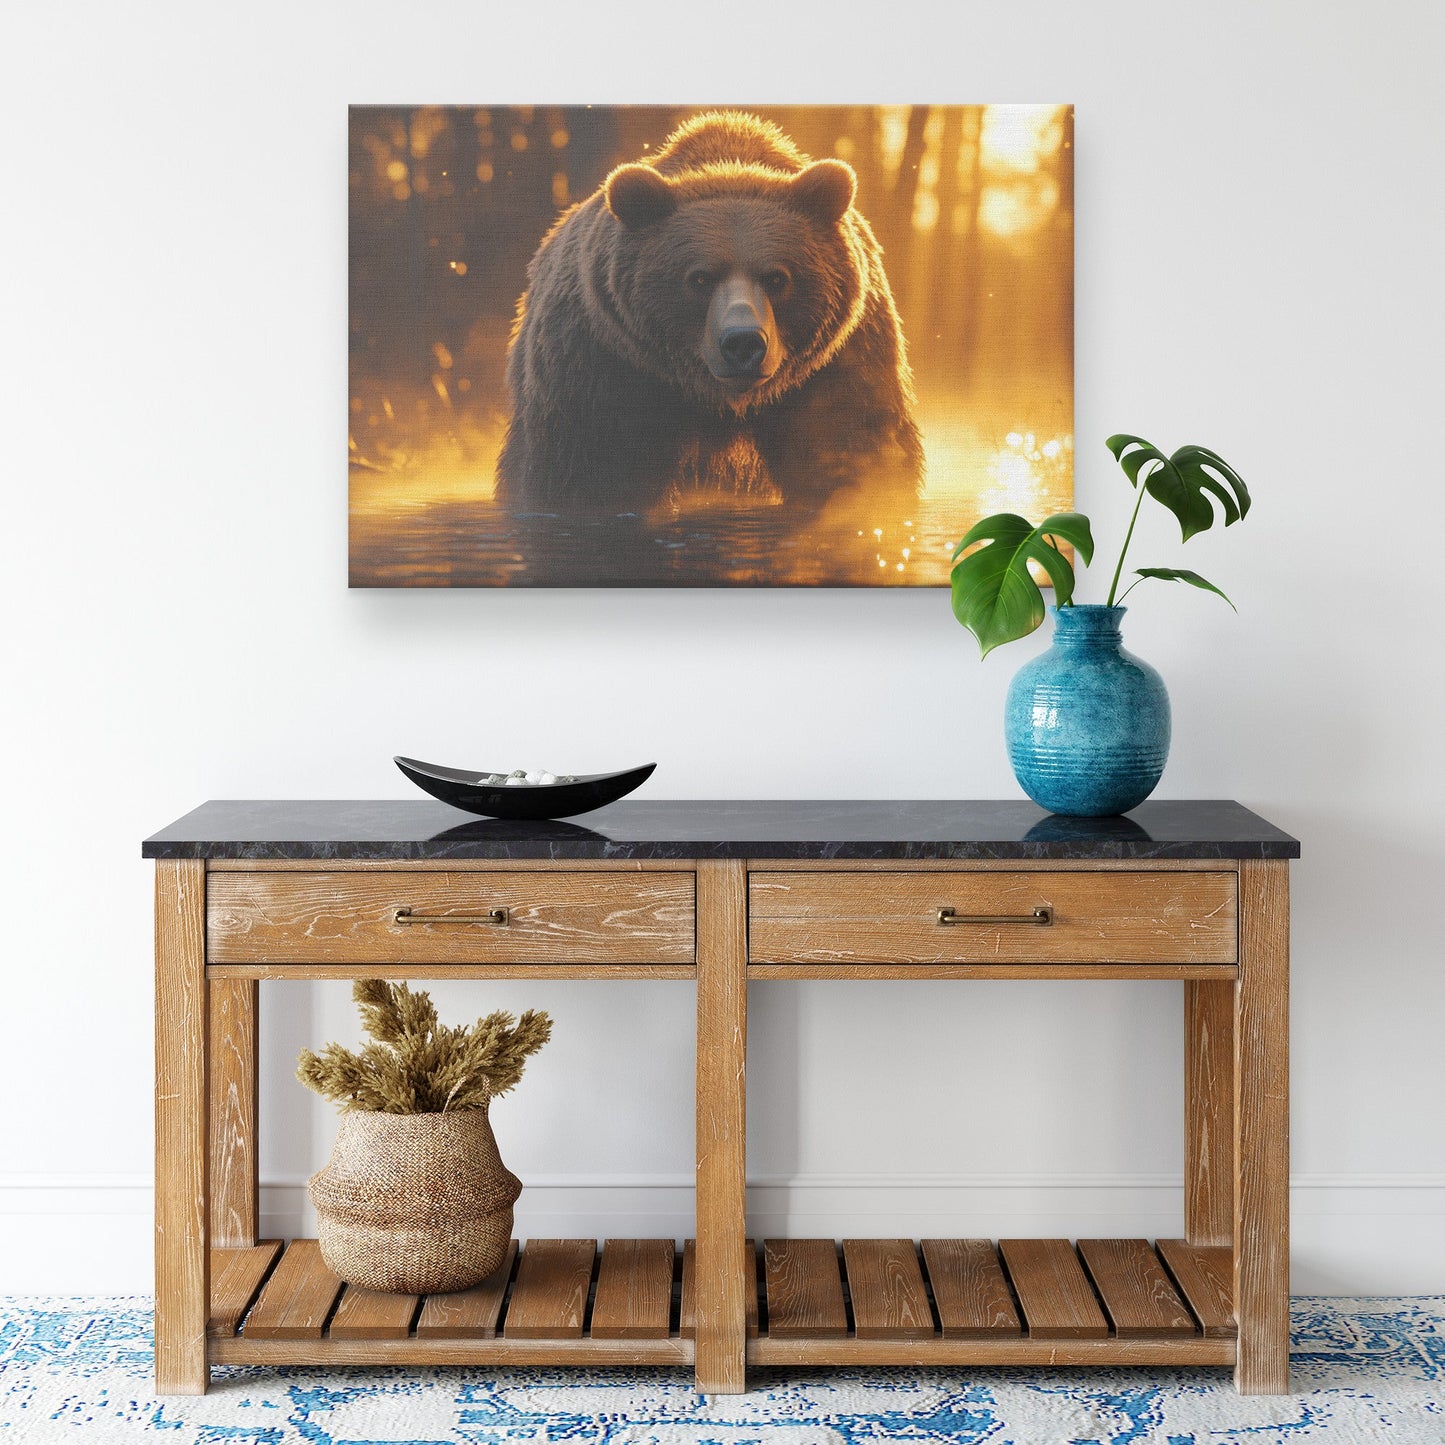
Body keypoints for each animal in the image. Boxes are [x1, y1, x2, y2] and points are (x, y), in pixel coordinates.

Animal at [495, 111, 924, 516]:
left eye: (776, 277)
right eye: (700, 278)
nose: (743, 343)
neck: (718, 397)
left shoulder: (839, 363)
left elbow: (852, 448)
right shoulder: (606, 365)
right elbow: (590, 469)